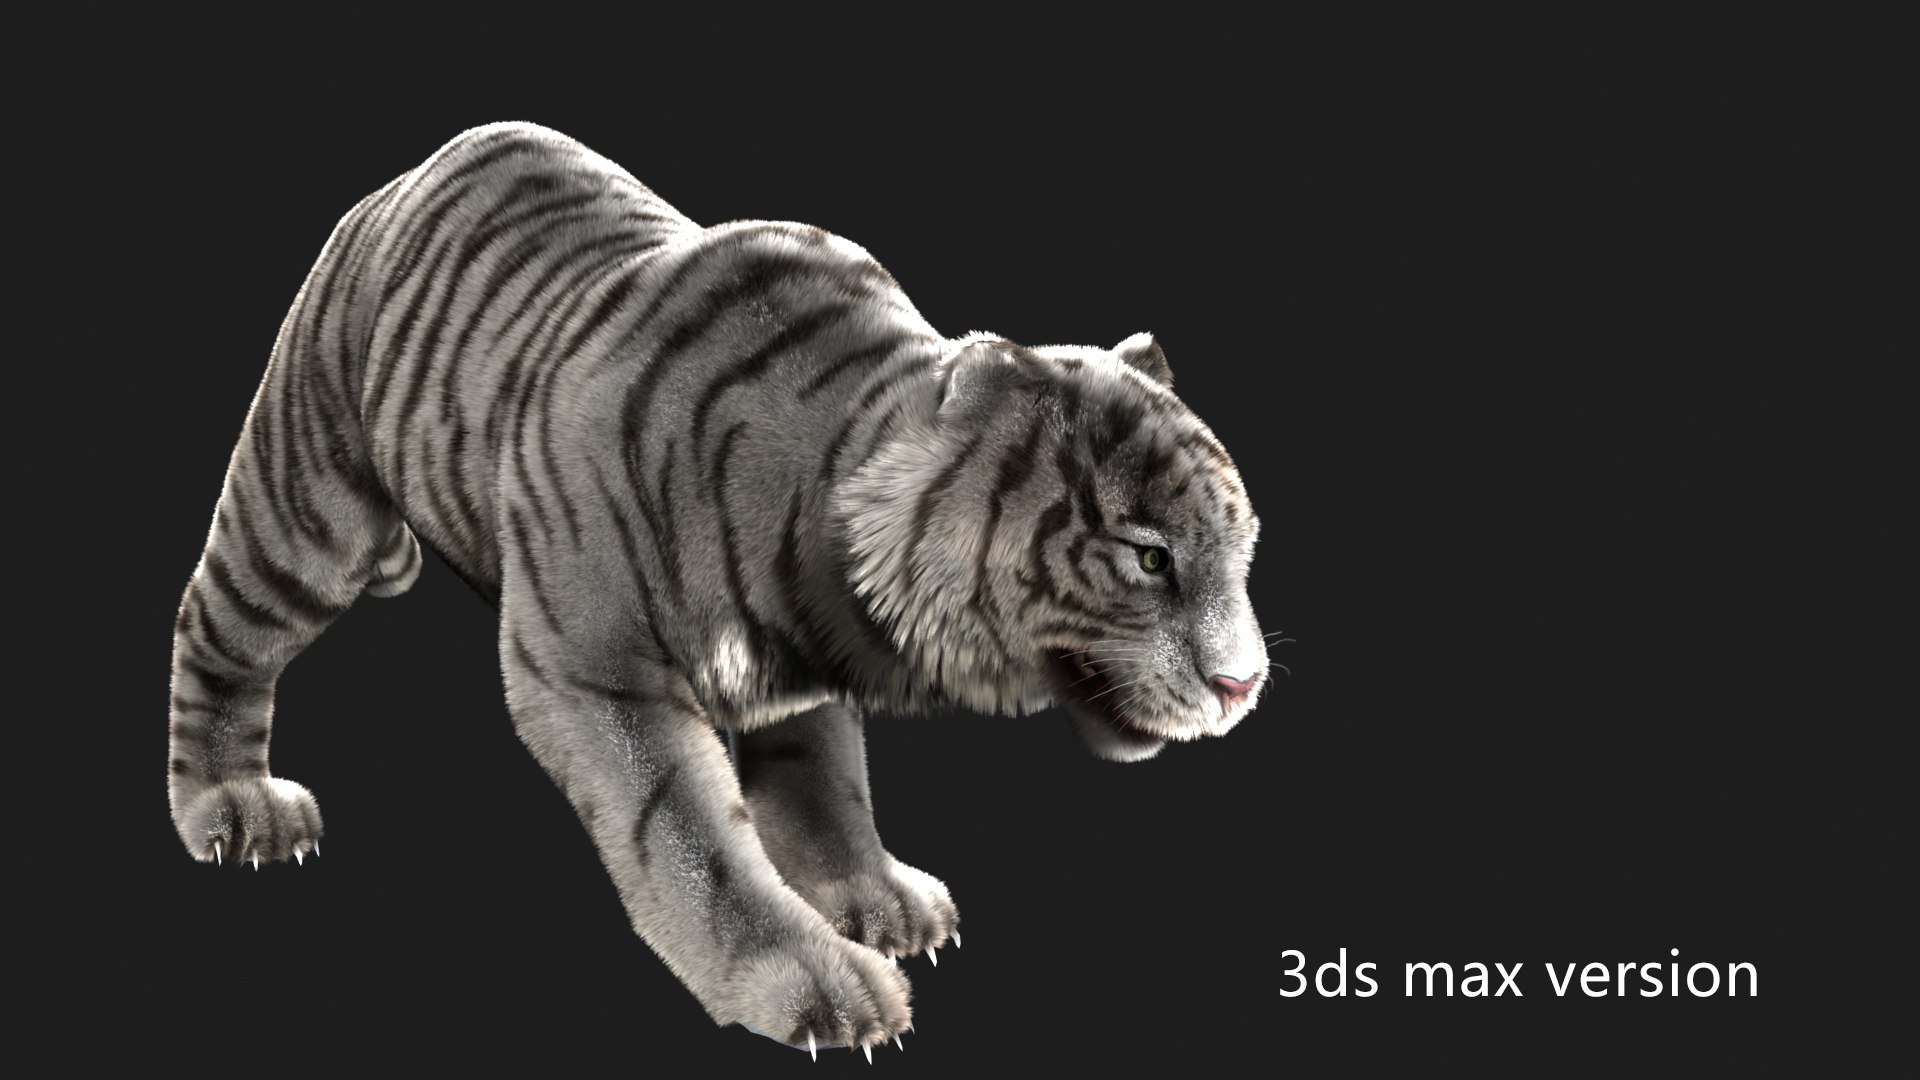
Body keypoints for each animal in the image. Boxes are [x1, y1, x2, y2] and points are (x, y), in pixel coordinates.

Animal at [165, 122, 1271, 1056]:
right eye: (1148, 557)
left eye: (1242, 551)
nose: (1245, 685)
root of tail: (409, 173)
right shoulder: (600, 675)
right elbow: (694, 839)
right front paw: (816, 984)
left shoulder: (805, 677)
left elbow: (828, 788)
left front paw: (874, 894)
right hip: (304, 512)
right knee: (217, 629)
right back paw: (234, 804)